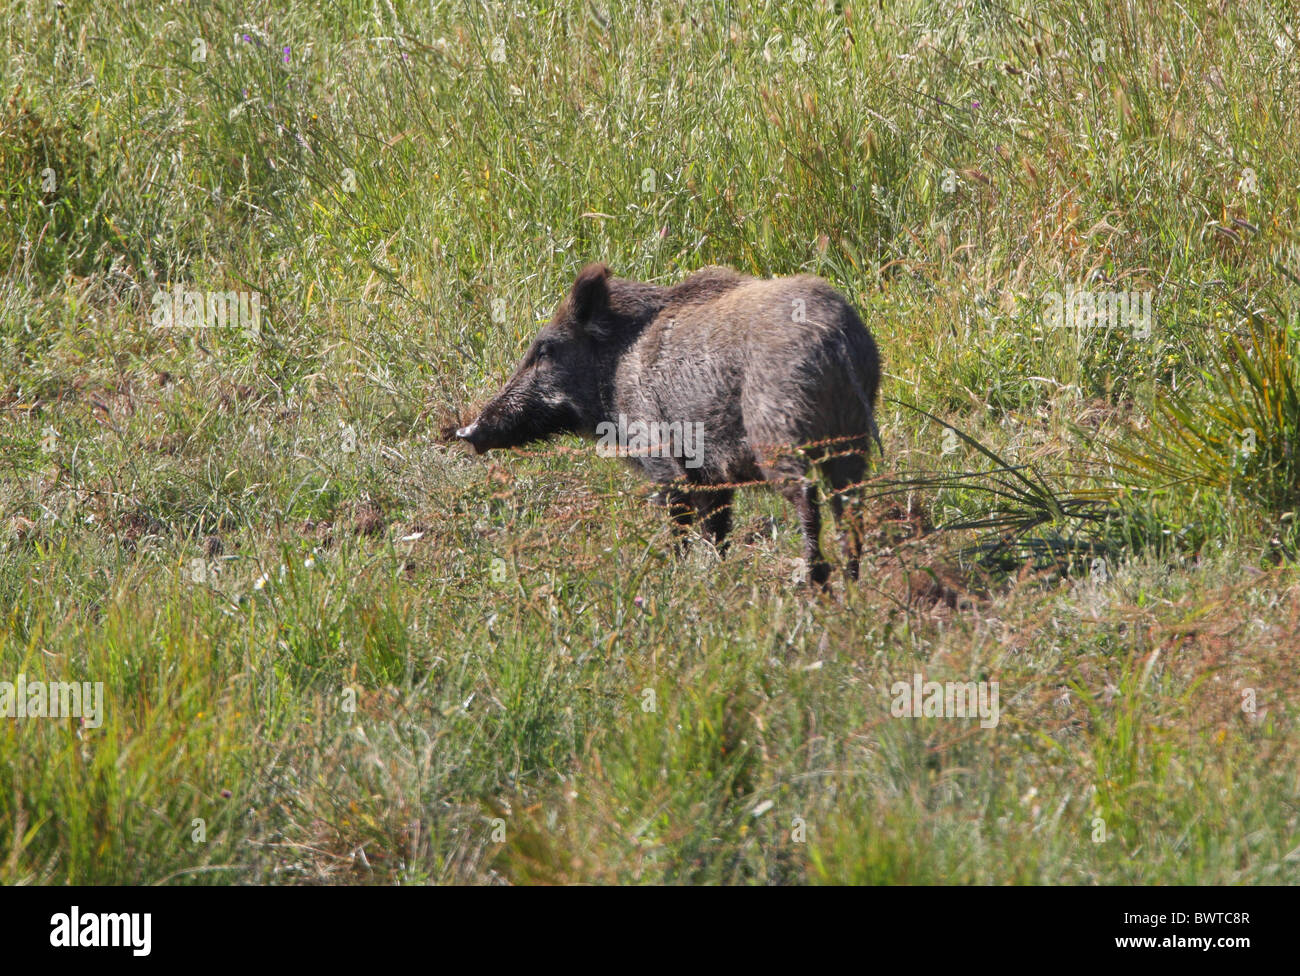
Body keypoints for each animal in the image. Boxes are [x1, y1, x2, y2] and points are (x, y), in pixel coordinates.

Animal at [456, 263, 881, 586]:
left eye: (544, 350)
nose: (466, 432)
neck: (616, 366)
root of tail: (836, 339)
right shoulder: (711, 475)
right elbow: (715, 529)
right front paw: (714, 575)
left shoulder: (659, 451)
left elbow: (679, 519)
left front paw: (673, 575)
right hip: (851, 440)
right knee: (850, 505)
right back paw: (851, 583)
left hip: (778, 430)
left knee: (808, 498)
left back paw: (814, 583)